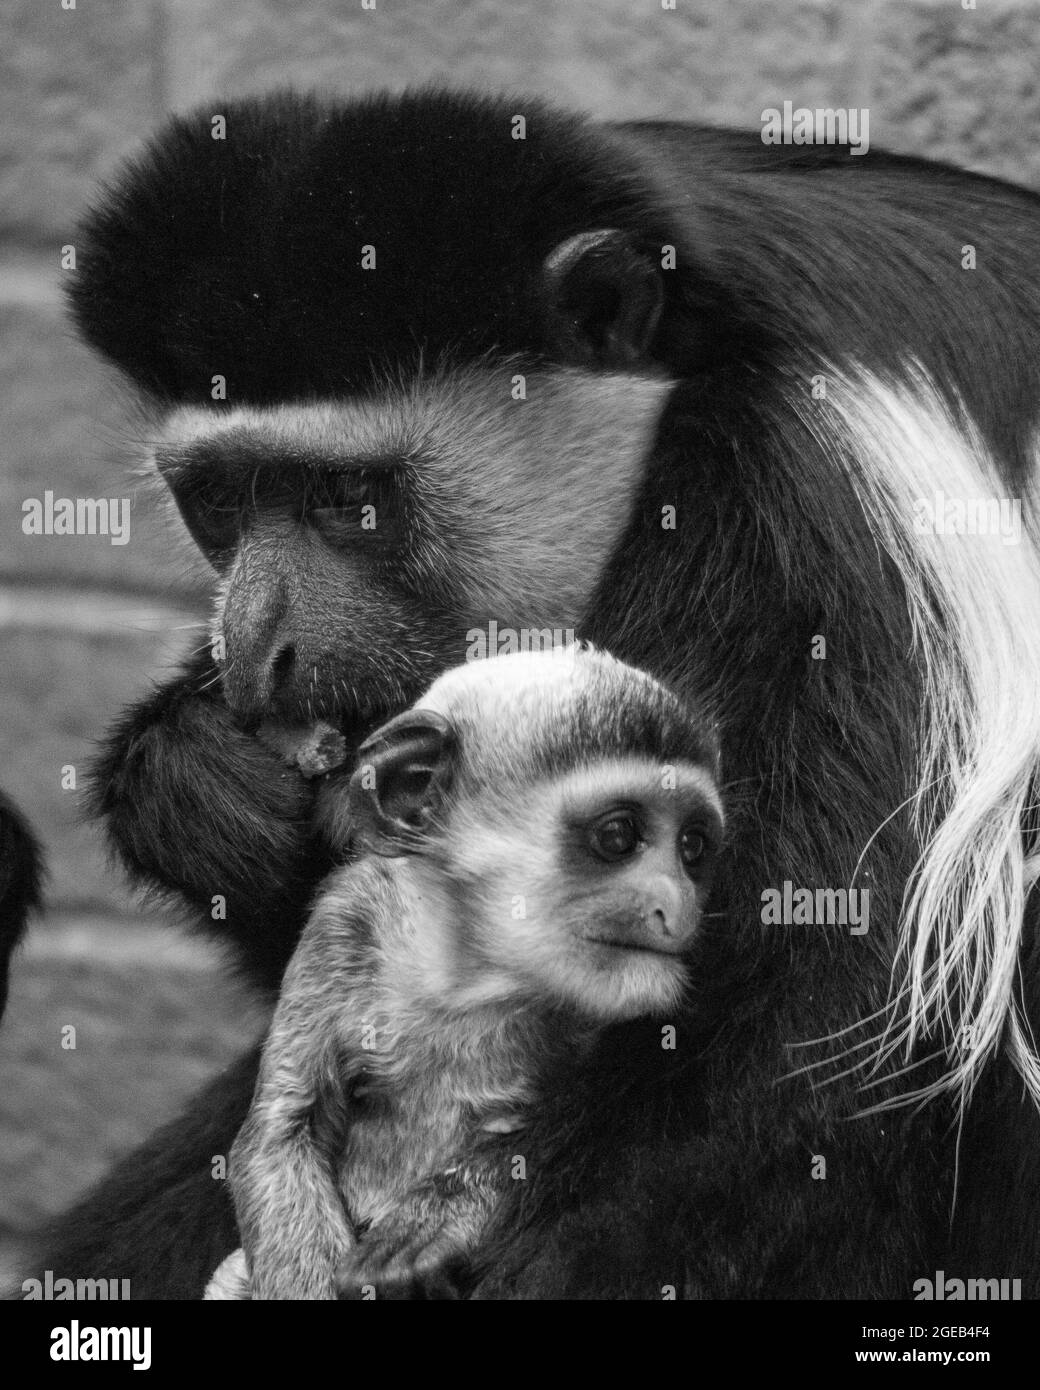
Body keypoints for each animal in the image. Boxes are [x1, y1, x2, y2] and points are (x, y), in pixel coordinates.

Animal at [209, 645, 723, 1300]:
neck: (469, 972)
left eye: (692, 848)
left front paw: (440, 1219)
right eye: (618, 835)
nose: (676, 907)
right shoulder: (343, 924)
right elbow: (281, 1132)